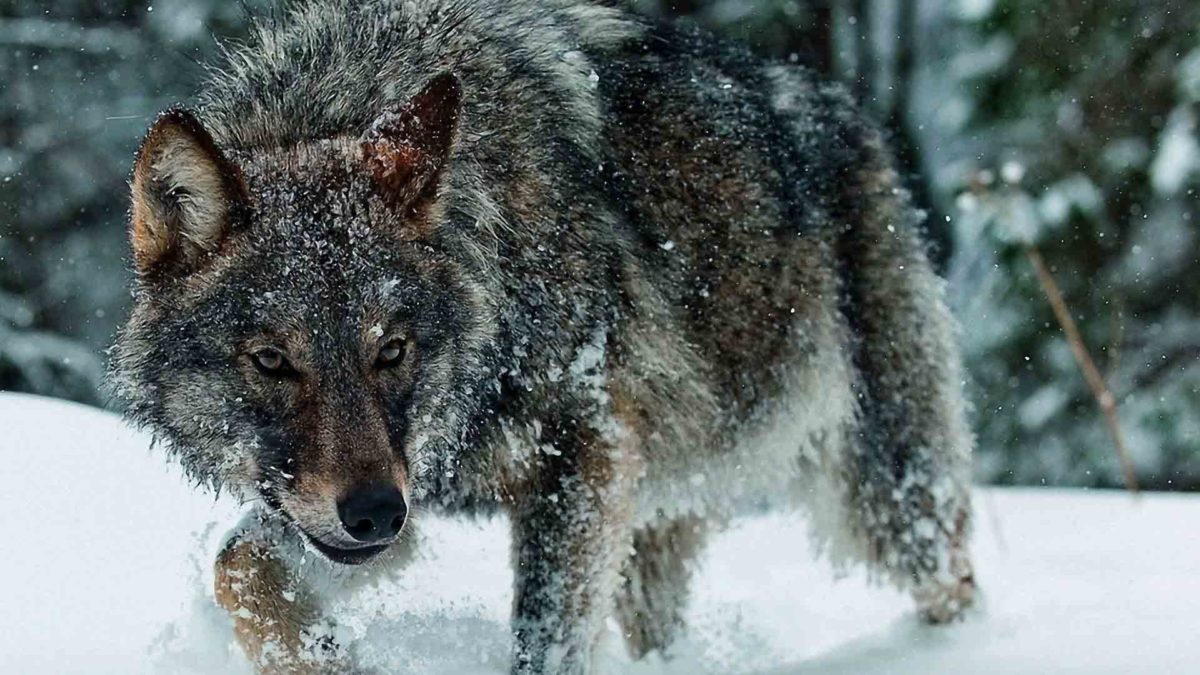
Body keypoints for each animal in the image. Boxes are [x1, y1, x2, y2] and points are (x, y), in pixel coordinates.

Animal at [111, 1, 976, 673]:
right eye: (271, 361)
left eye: (391, 350)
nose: (375, 516)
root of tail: (847, 110)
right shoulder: (395, 490)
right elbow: (239, 563)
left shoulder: (579, 452)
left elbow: (544, 642)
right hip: (651, 532)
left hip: (887, 496)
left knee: (955, 579)